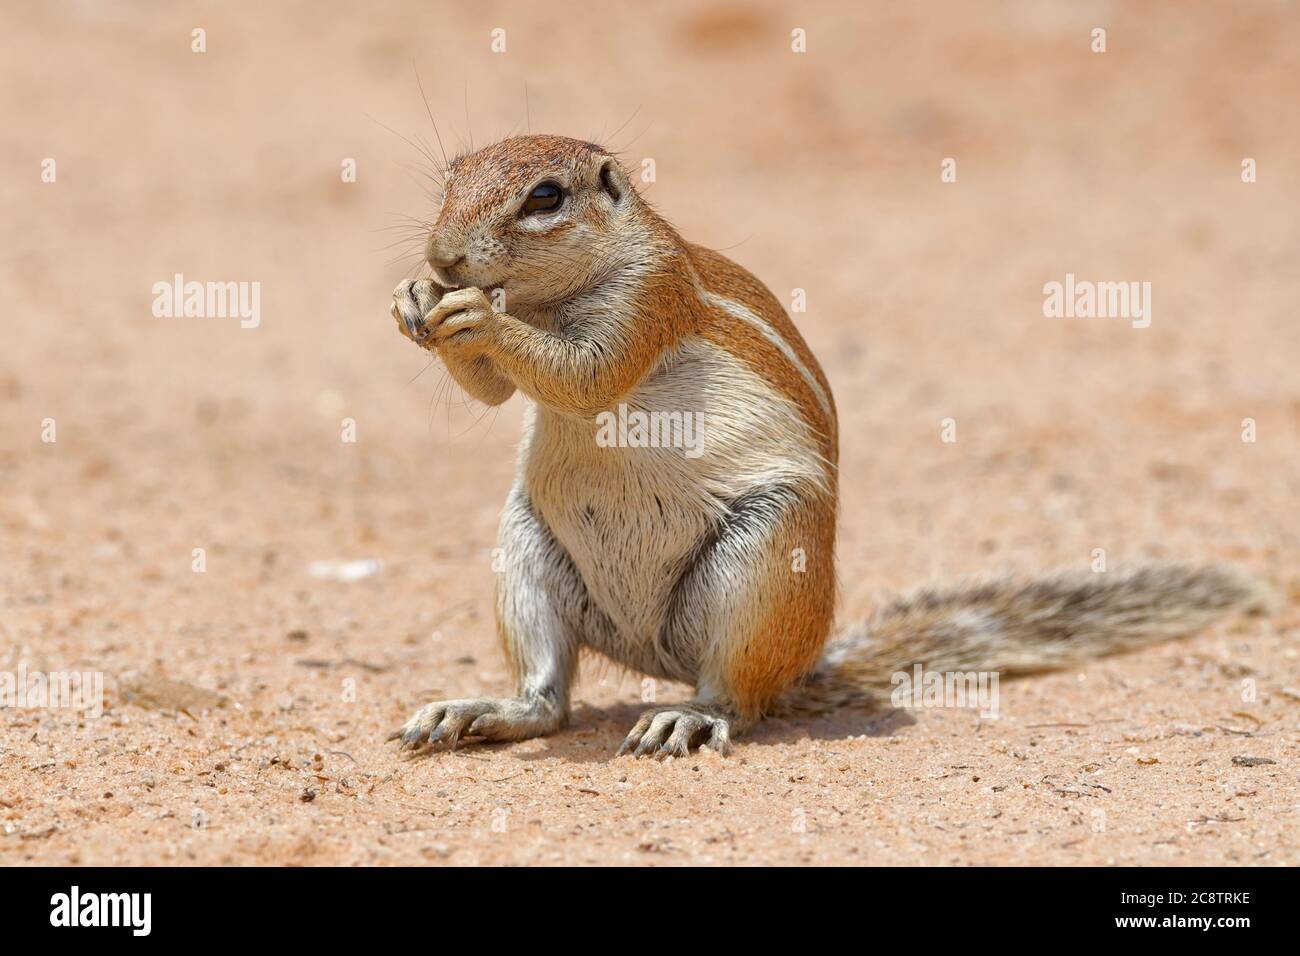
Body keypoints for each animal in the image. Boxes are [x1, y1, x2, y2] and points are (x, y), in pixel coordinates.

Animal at [388, 134, 1266, 758]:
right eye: (452, 176)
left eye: (545, 196)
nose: (442, 256)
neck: (550, 297)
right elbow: (497, 394)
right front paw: (414, 301)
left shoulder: (649, 301)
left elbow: (586, 375)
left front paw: (480, 317)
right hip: (525, 549)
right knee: (548, 697)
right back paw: (479, 710)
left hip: (764, 558)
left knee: (735, 697)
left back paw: (687, 718)